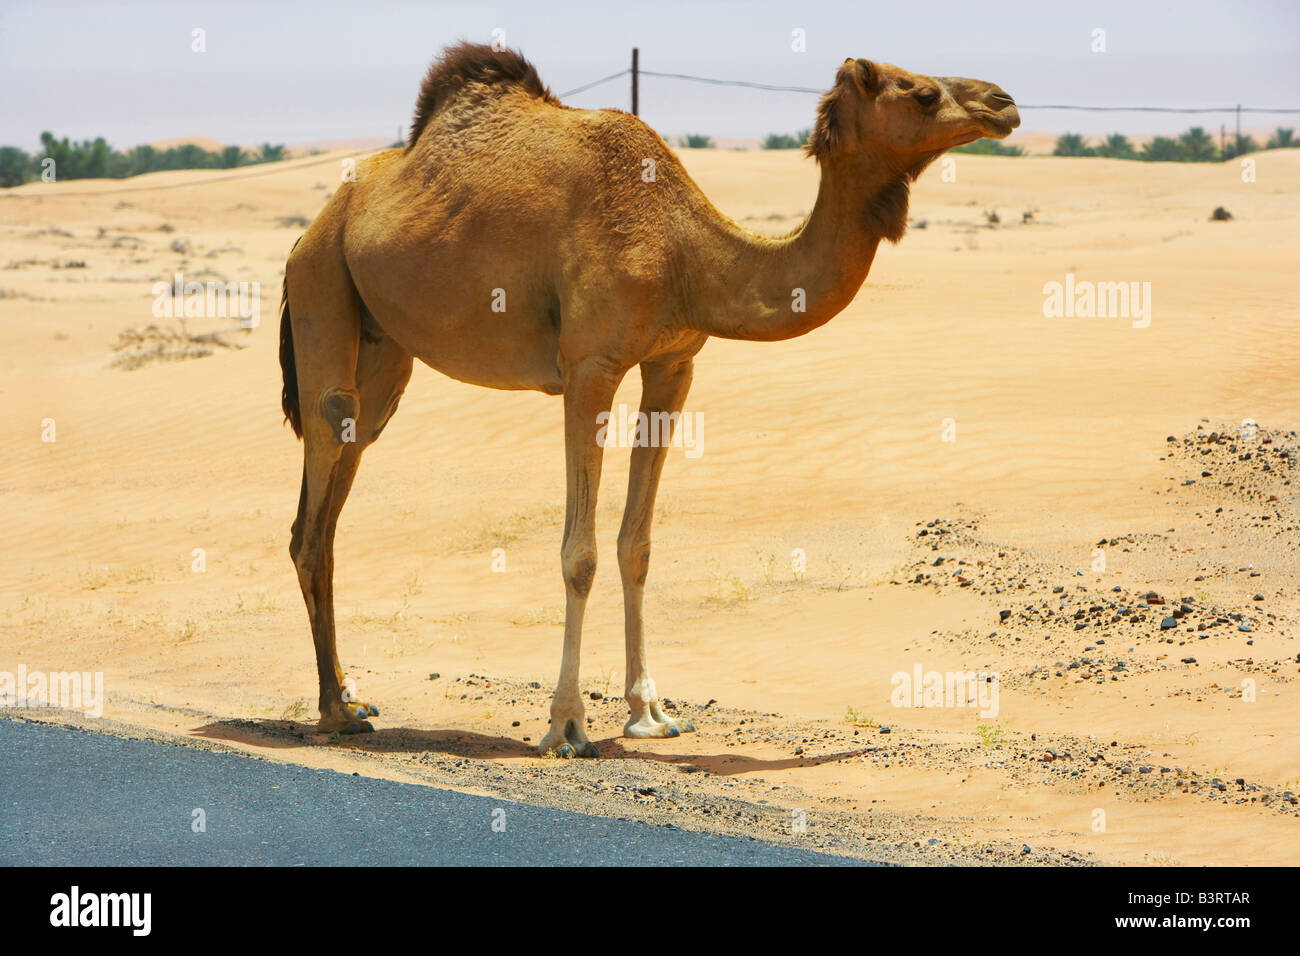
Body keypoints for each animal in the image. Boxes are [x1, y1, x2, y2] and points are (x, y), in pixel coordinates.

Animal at [279, 42, 1019, 755]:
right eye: (921, 93)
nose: (1004, 102)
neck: (687, 254)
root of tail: (312, 227)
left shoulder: (674, 363)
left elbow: (637, 543)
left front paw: (649, 712)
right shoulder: (589, 366)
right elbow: (579, 553)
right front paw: (567, 726)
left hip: (383, 347)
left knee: (333, 494)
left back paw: (352, 699)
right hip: (322, 282)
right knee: (321, 476)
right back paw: (334, 714)